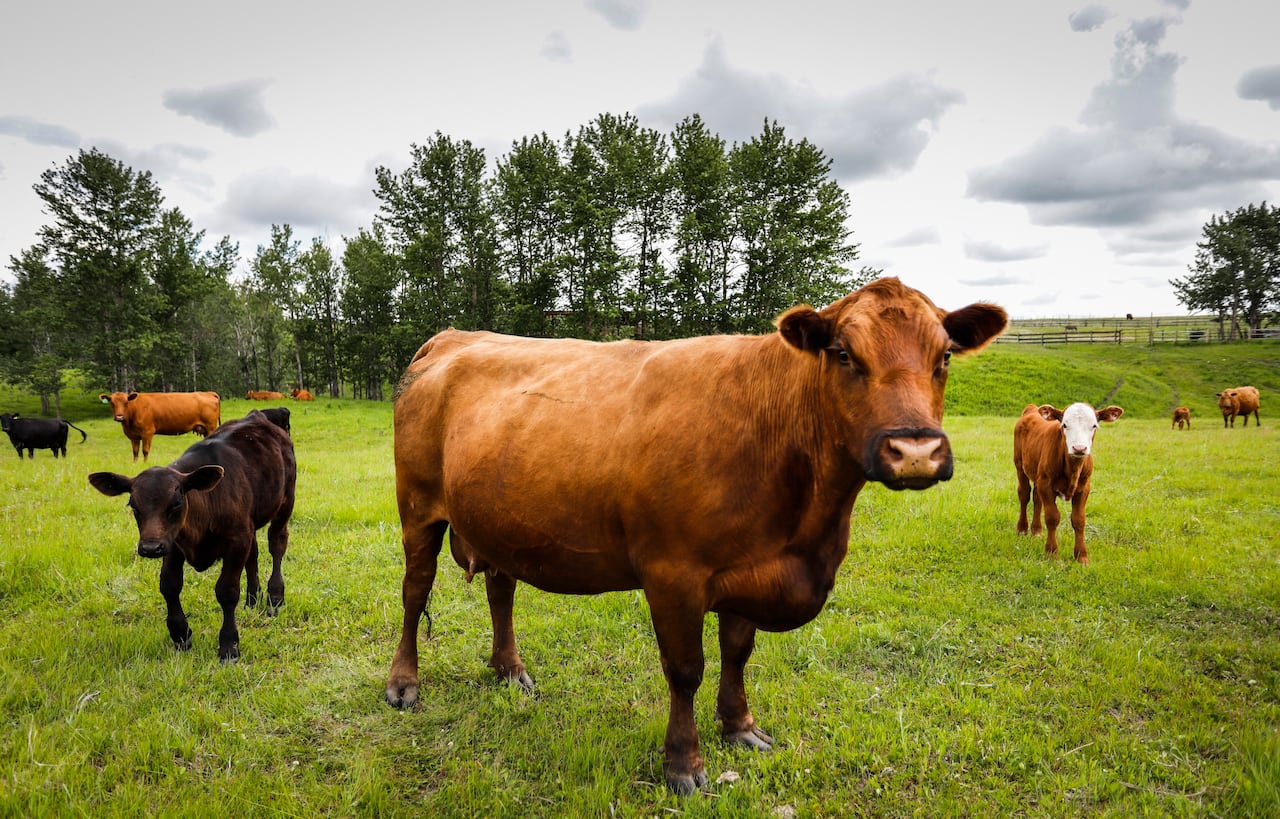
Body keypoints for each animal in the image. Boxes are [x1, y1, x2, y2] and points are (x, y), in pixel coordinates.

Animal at [87, 411, 296, 663]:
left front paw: (229, 645)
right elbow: (169, 585)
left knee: (277, 544)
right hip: (250, 522)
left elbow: (226, 590)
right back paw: (252, 599)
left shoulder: (236, 540)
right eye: (133, 505)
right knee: (253, 556)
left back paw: (274, 597)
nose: (150, 548)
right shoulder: (173, 542)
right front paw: (180, 633)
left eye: (176, 503)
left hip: (285, 504)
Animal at [384, 277, 1008, 793]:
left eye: (943, 356)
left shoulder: (750, 571)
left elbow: (738, 652)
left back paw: (510, 670)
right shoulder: (673, 575)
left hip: (500, 517)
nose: (916, 451)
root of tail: (450, 337)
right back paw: (403, 684)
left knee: (501, 589)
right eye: (844, 354)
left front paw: (740, 727)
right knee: (414, 593)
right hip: (418, 507)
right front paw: (683, 765)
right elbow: (686, 671)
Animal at [1013, 402, 1124, 565]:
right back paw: (1022, 529)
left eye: (1094, 425)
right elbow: (1052, 517)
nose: (1079, 448)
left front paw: (1081, 556)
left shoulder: (1084, 488)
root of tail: (1032, 409)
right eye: (1064, 425)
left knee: (1037, 498)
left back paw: (1037, 530)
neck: (1073, 468)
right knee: (1024, 495)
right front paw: (1052, 553)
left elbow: (1079, 519)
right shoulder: (1046, 484)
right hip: (1020, 466)